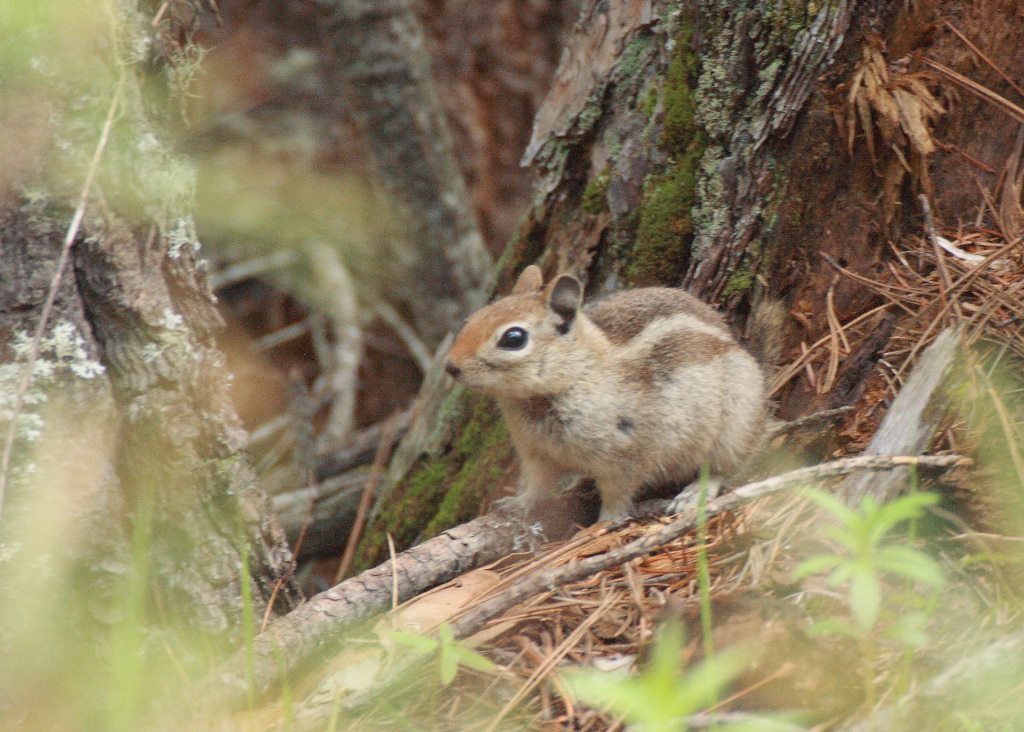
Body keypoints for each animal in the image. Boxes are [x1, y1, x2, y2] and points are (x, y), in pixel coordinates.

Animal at [445, 265, 767, 521]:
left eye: (513, 338)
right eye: (475, 317)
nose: (451, 366)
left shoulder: (626, 455)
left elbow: (617, 492)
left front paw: (604, 522)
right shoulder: (537, 454)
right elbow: (538, 484)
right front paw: (517, 503)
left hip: (733, 428)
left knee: (723, 468)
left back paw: (693, 493)